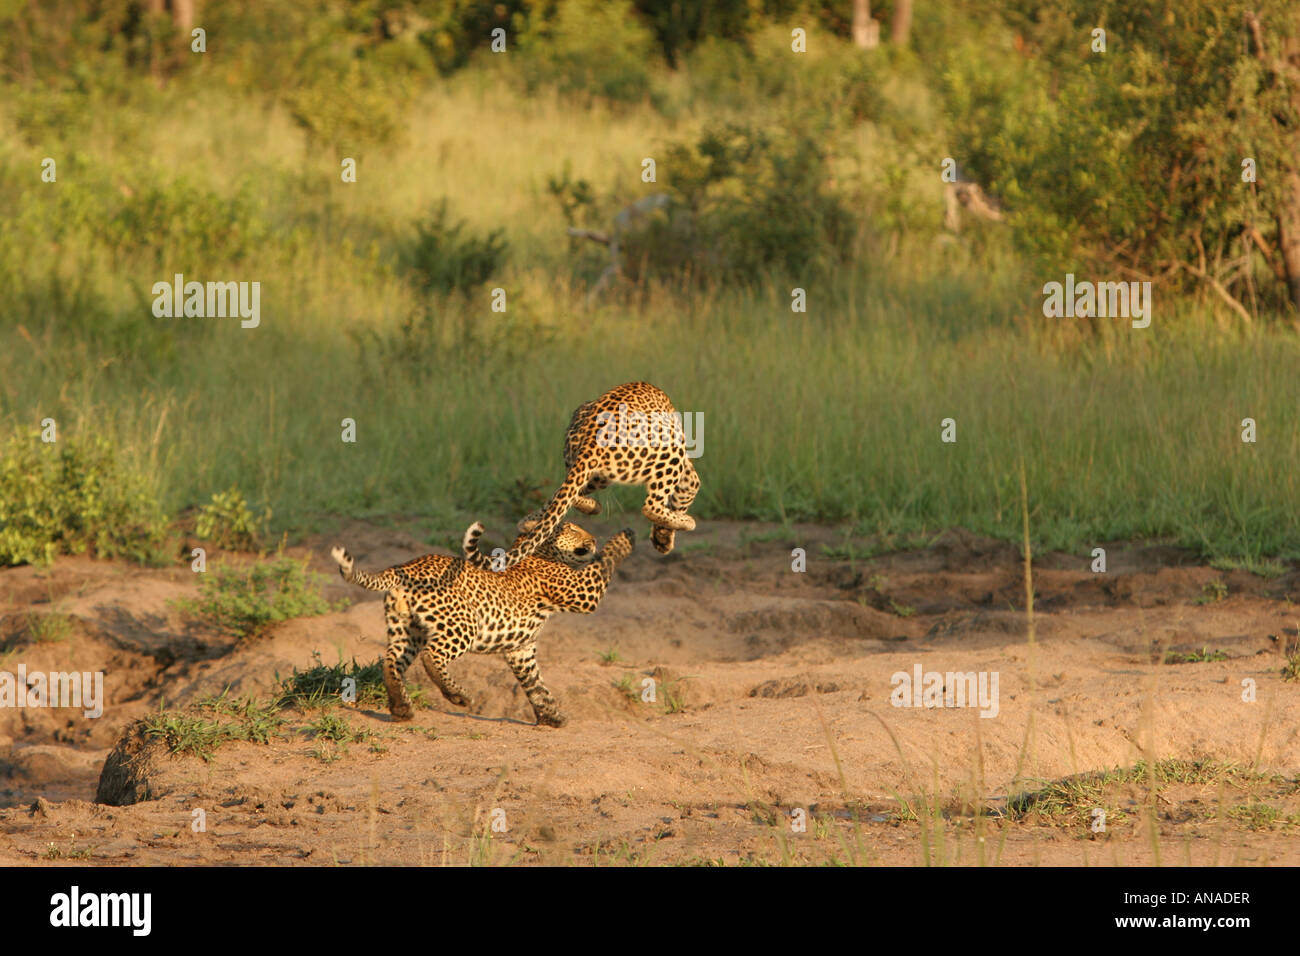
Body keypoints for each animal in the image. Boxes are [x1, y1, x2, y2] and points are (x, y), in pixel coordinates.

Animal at [330, 515, 633, 726]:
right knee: (431, 656)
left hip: (407, 630)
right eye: (571, 528)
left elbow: (536, 685)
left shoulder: (520, 650)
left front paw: (552, 716)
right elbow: (604, 561)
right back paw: (458, 696)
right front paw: (624, 537)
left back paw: (402, 709)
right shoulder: (586, 592)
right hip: (461, 625)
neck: (536, 552)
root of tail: (403, 568)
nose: (592, 538)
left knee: (391, 662)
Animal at [489, 381, 699, 570]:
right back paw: (687, 522)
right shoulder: (684, 469)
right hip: (669, 452)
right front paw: (665, 536)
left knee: (564, 495)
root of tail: (594, 435)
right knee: (650, 507)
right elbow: (689, 489)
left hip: (592, 470)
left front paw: (662, 537)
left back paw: (531, 522)